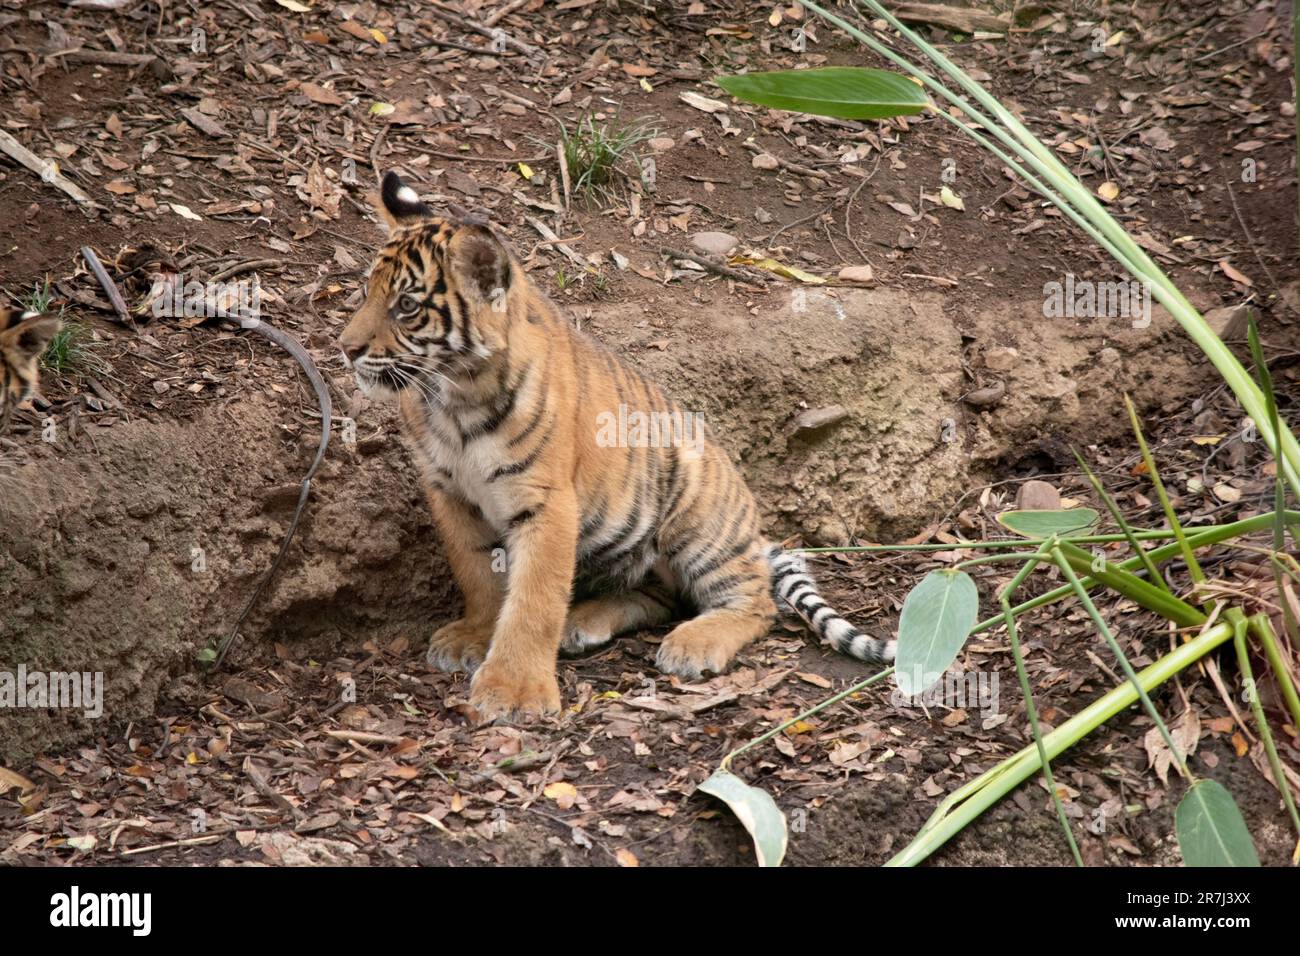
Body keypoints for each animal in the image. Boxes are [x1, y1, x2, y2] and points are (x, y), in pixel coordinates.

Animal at [340, 171, 894, 721]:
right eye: (366, 291)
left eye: (407, 306)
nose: (346, 349)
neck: (453, 397)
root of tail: (752, 533)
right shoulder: (450, 492)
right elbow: (475, 570)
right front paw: (475, 636)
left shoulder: (546, 503)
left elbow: (534, 600)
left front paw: (514, 692)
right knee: (662, 595)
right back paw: (583, 624)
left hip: (696, 512)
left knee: (755, 603)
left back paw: (691, 645)